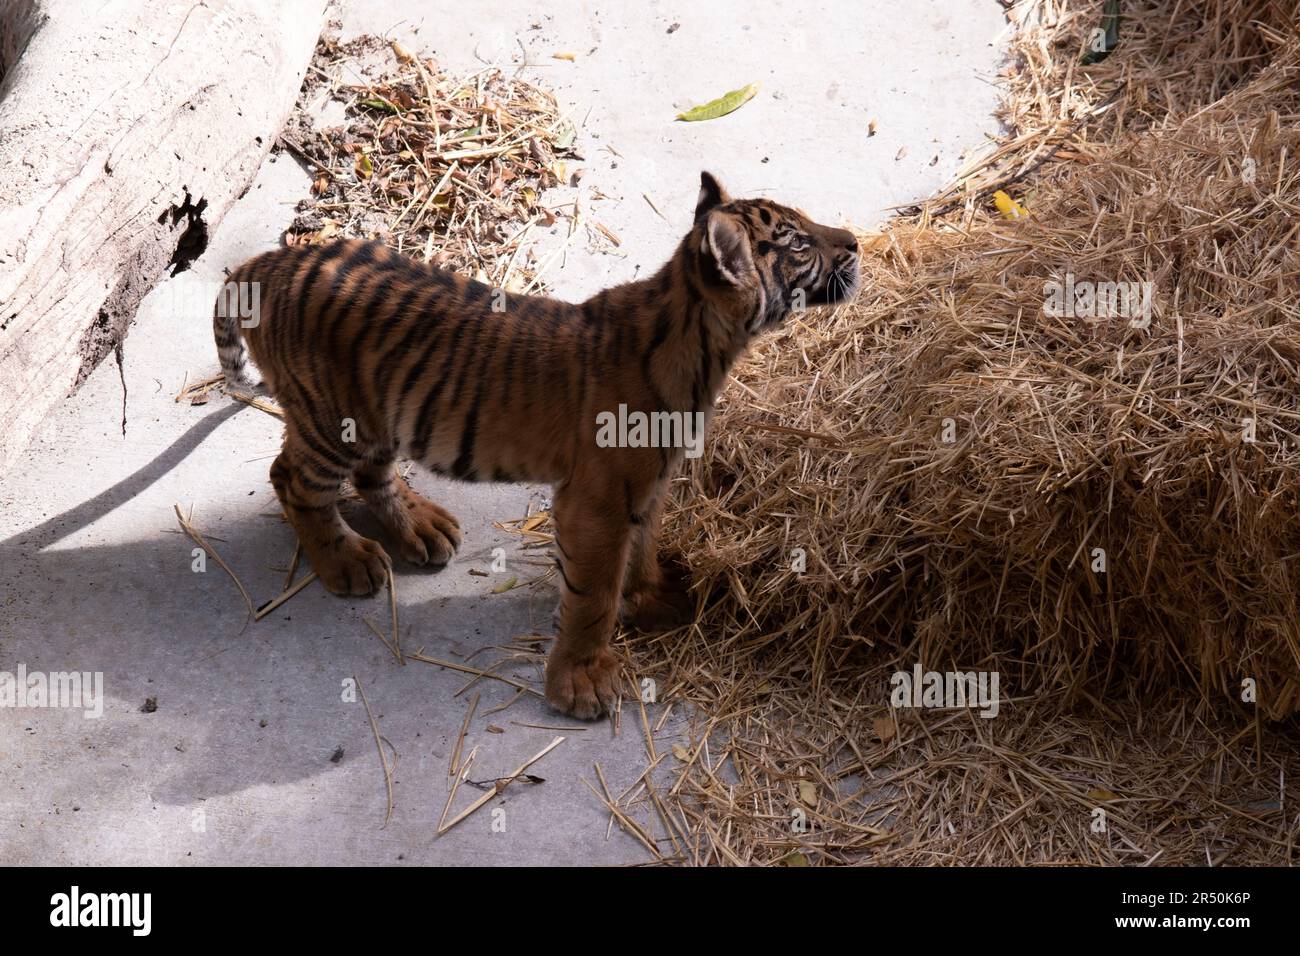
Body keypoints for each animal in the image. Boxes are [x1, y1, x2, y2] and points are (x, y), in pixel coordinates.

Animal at [213, 171, 860, 718]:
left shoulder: (649, 484)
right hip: (331, 420)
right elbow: (592, 593)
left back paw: (422, 528)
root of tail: (263, 262)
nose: (853, 242)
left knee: (371, 476)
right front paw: (582, 682)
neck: (700, 342)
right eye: (799, 244)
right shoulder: (594, 500)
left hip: (378, 415)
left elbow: (642, 548)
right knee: (291, 480)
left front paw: (653, 598)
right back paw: (347, 562)